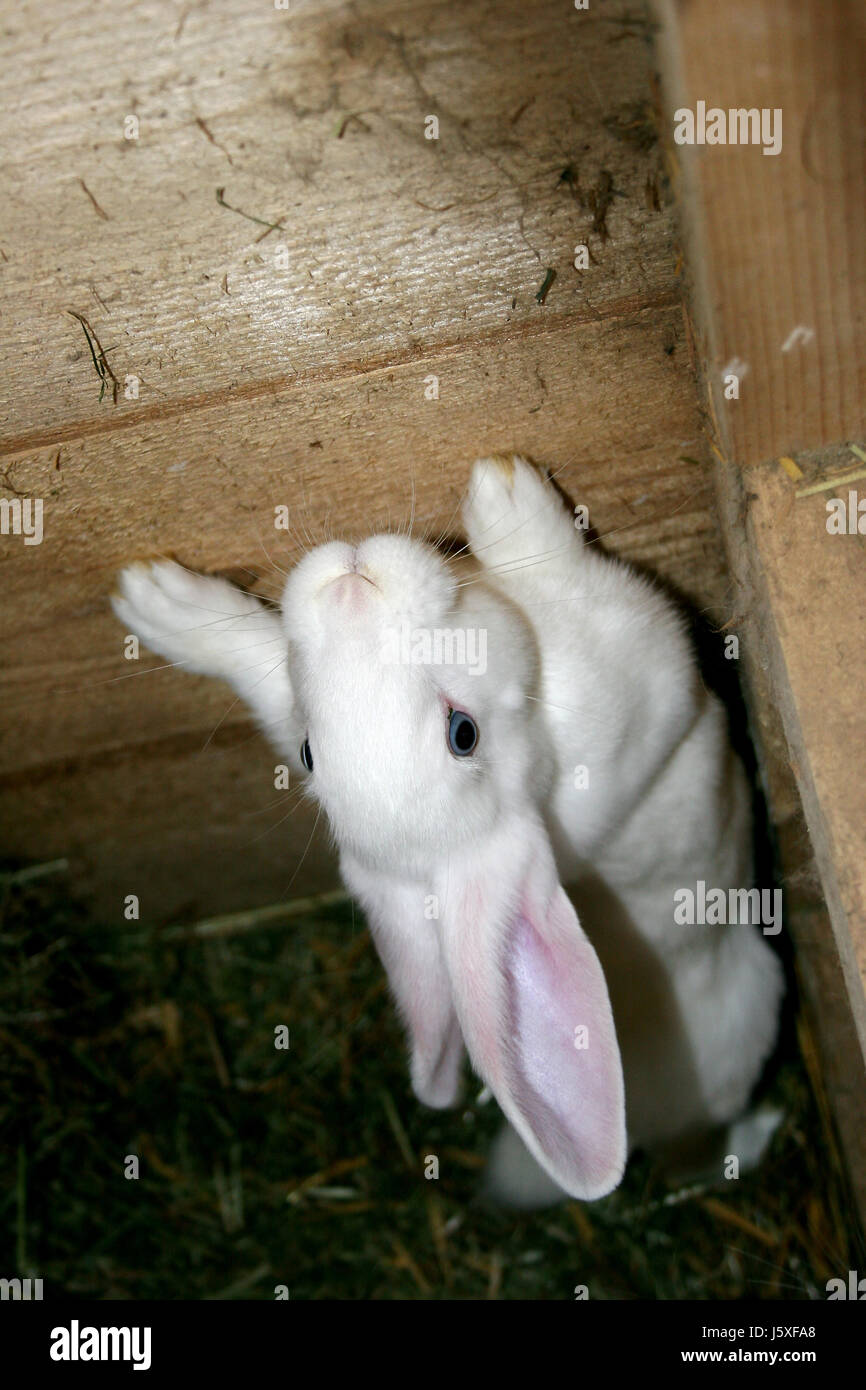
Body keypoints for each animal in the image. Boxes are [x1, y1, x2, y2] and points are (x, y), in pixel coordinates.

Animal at [111, 455, 785, 1206]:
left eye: (463, 733)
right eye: (310, 752)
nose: (350, 587)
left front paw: (155, 604)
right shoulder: (639, 655)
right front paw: (508, 500)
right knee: (694, 1157)